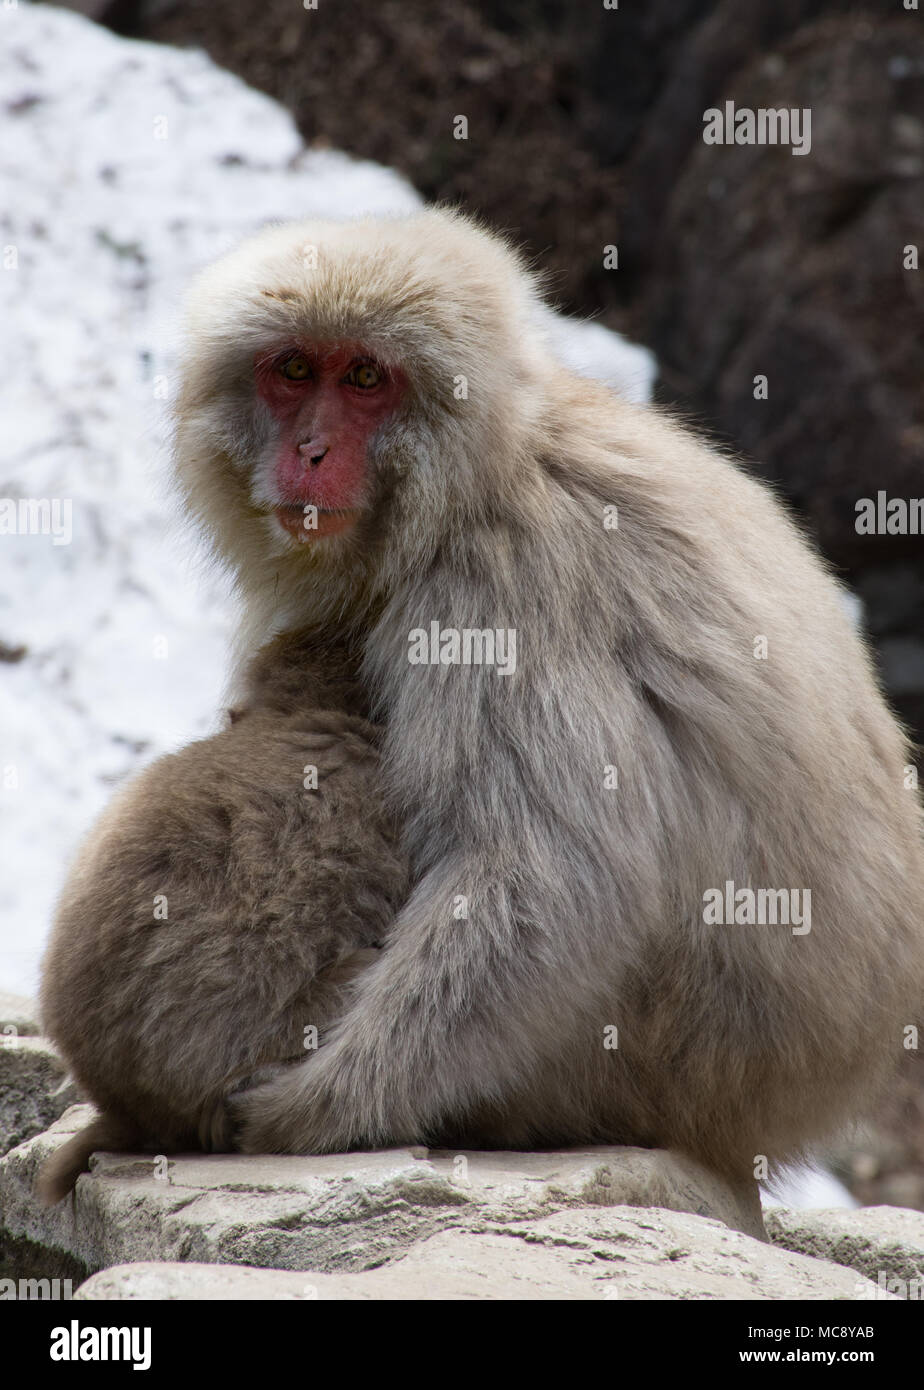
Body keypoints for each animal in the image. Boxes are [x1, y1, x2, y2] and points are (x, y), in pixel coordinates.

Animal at [94, 205, 924, 1189]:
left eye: (366, 378)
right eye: (294, 371)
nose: (309, 451)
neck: (484, 473)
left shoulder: (500, 589)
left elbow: (550, 876)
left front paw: (315, 1107)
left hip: (644, 1064)